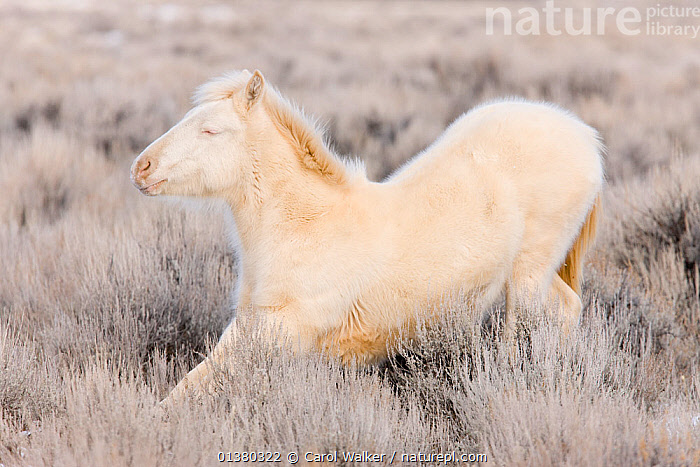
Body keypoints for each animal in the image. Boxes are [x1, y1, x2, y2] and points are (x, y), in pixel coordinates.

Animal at [130, 69, 603, 402]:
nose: (142, 167)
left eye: (211, 130)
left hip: (528, 273)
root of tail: (586, 138)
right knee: (566, 307)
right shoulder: (252, 322)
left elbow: (200, 382)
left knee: (532, 323)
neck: (303, 227)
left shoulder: (279, 328)